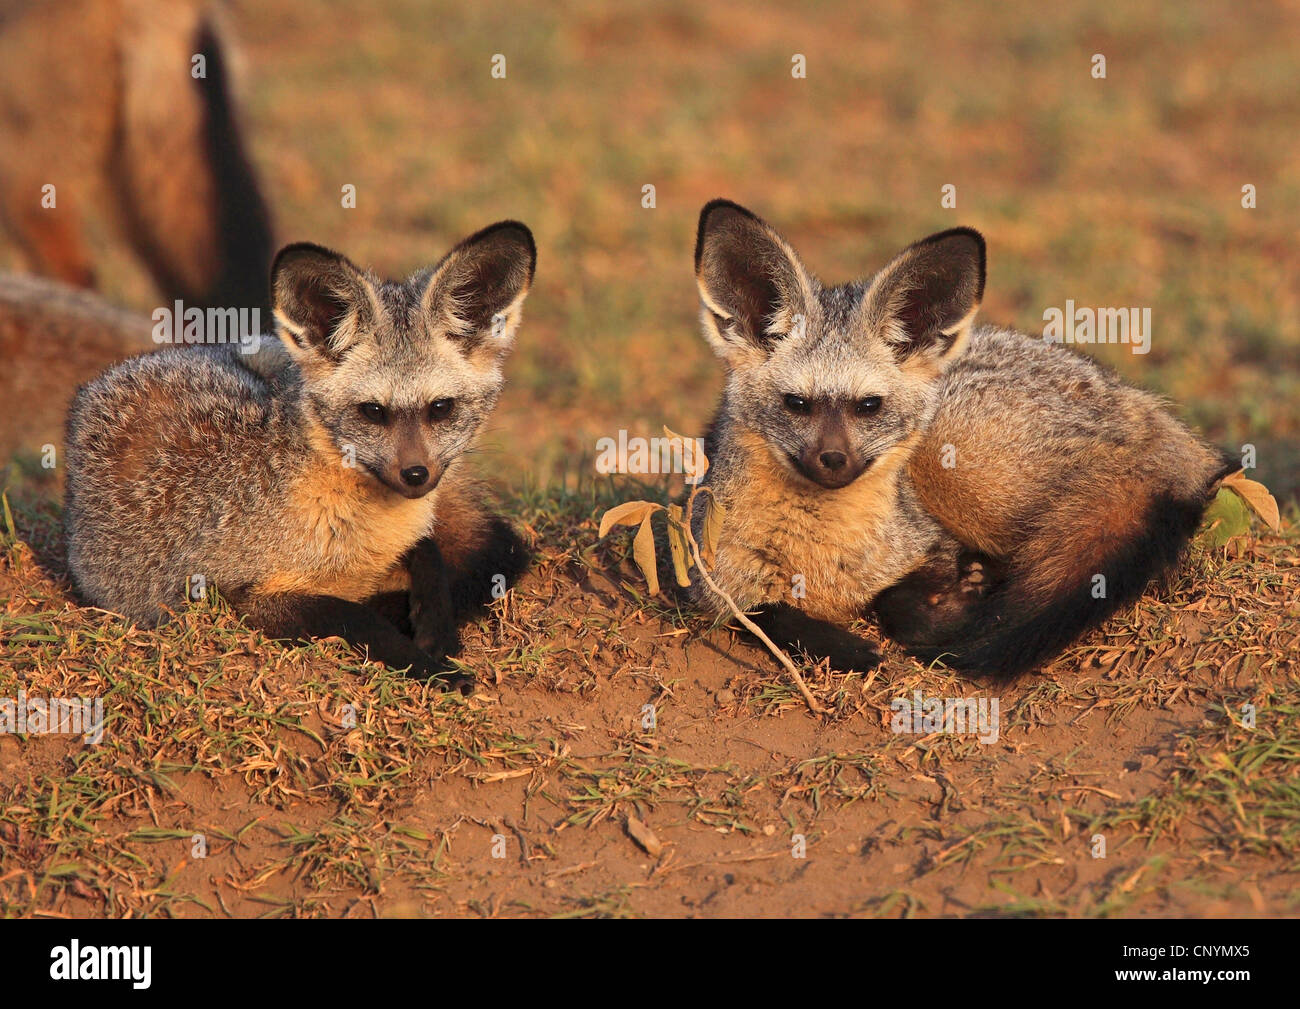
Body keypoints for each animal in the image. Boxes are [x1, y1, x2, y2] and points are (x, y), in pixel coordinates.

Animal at [63, 221, 536, 690]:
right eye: (373, 412)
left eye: (440, 408)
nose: (416, 474)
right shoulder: (240, 595)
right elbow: (355, 617)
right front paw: (430, 667)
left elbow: (428, 551)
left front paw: (437, 629)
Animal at [688, 199, 1234, 676]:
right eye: (797, 404)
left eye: (869, 406)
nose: (834, 459)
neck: (821, 561)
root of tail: (1147, 411)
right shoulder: (715, 589)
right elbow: (765, 614)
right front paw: (847, 647)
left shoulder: (931, 539)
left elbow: (900, 605)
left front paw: (957, 600)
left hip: (958, 467)